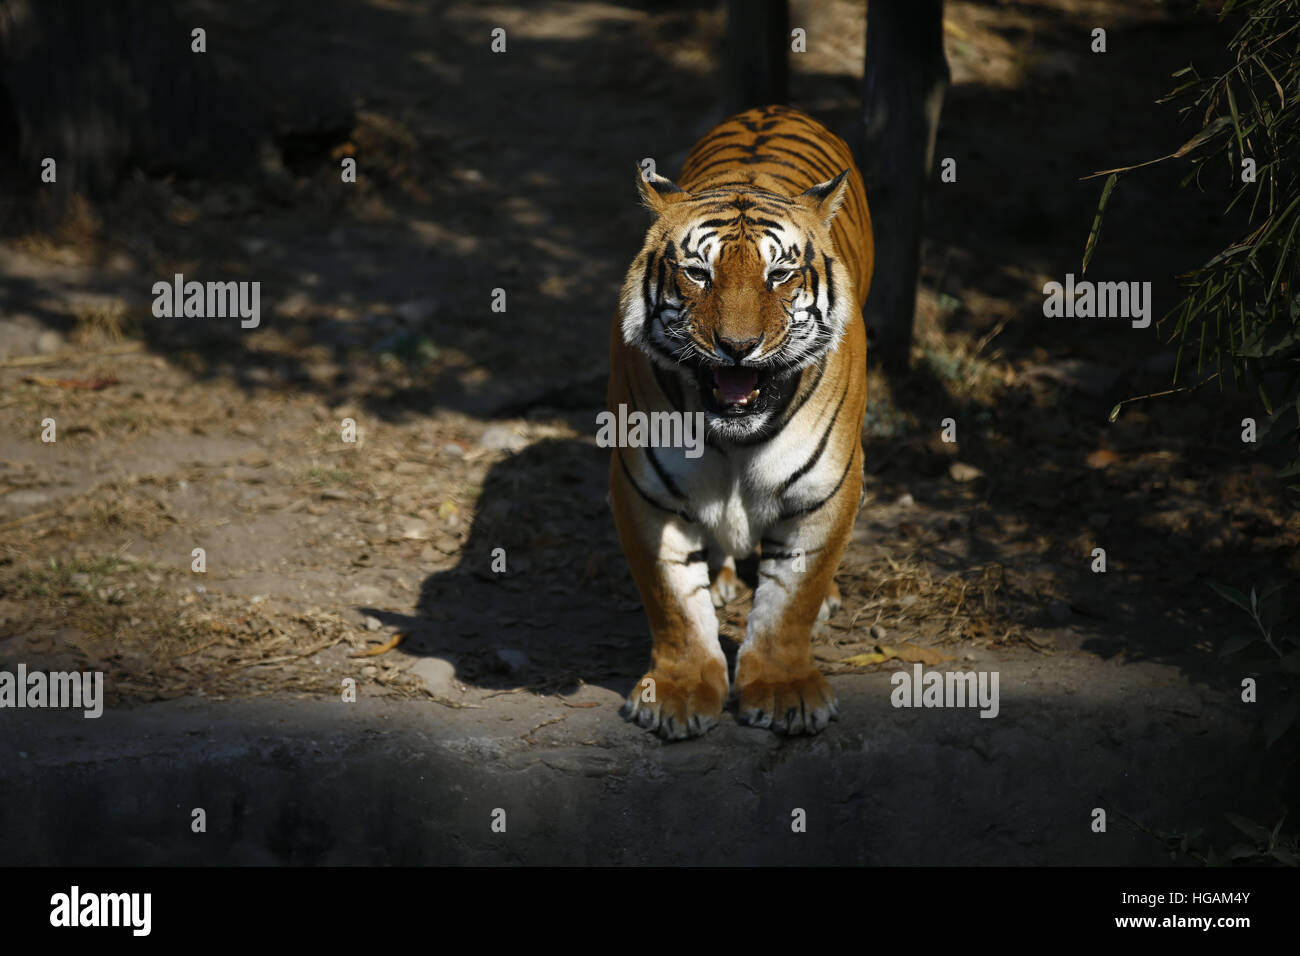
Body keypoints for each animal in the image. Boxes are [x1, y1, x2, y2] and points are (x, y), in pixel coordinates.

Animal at [608, 104, 873, 740]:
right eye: (698, 273)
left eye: (778, 276)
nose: (736, 347)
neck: (733, 437)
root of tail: (773, 107)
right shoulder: (644, 490)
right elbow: (674, 601)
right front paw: (678, 695)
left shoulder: (826, 487)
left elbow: (791, 598)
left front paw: (783, 692)